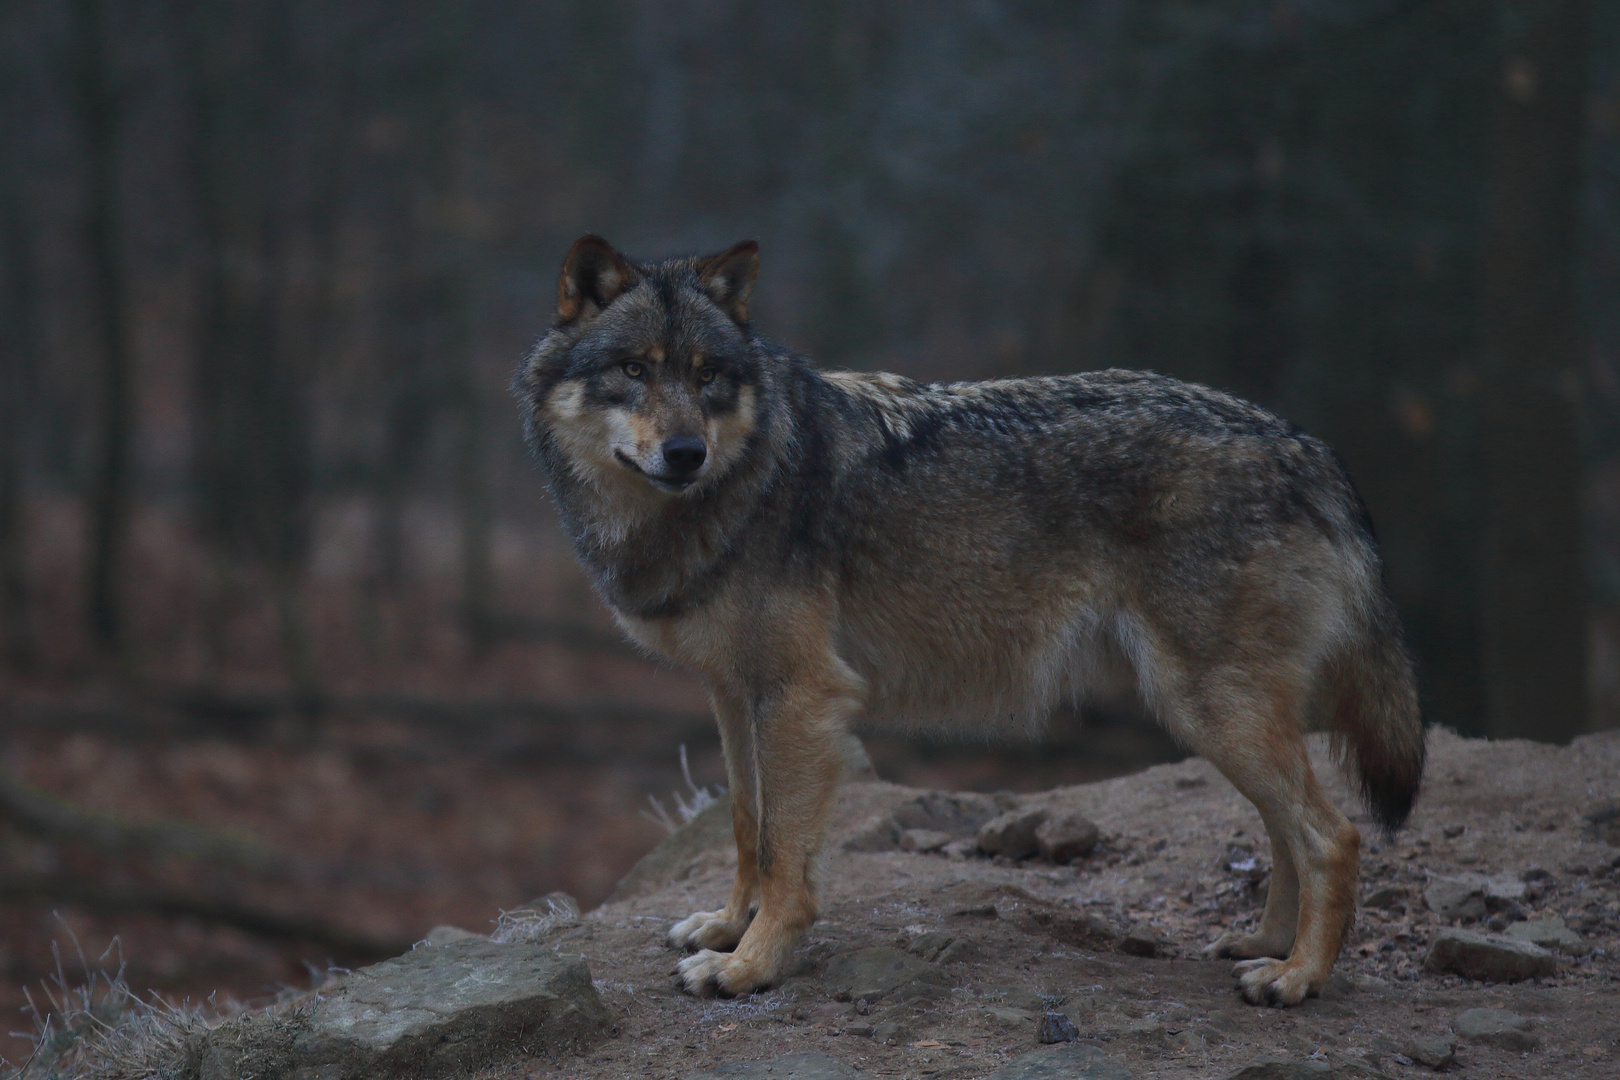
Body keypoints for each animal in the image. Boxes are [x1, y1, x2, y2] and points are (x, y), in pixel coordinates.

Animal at [515, 234, 1419, 1003]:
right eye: (634, 369)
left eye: (707, 377)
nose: (685, 453)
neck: (737, 484)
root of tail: (1313, 450)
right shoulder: (736, 697)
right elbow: (746, 826)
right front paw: (728, 929)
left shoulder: (805, 698)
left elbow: (784, 858)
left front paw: (751, 966)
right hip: (1213, 716)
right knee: (1283, 829)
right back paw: (1263, 946)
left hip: (1208, 707)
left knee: (1333, 836)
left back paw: (1298, 978)